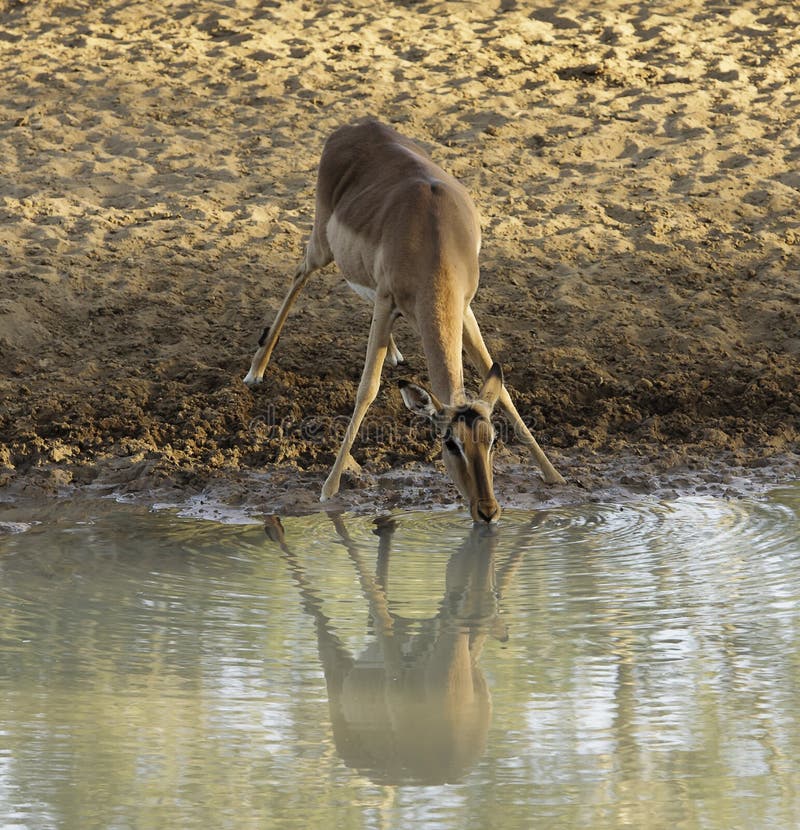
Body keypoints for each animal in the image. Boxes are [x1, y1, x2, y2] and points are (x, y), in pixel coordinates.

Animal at [244, 119, 564, 522]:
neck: (433, 237)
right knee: (299, 273)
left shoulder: (464, 308)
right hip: (322, 247)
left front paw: (554, 475)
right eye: (450, 443)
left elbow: (500, 385)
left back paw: (395, 352)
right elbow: (368, 387)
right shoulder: (387, 301)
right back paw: (256, 370)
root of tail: (353, 128)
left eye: (491, 440)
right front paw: (329, 487)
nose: (487, 510)